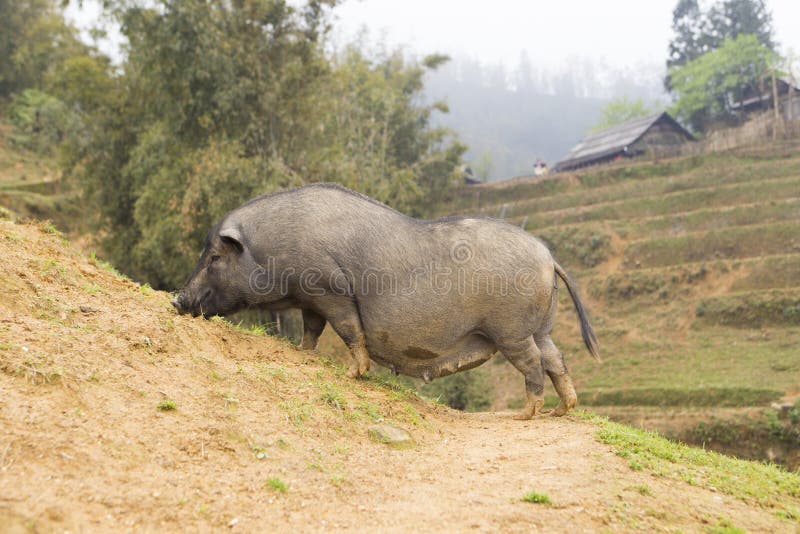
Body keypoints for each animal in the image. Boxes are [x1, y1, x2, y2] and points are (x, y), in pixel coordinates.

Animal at [172, 183, 600, 419]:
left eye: (214, 258)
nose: (177, 299)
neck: (273, 247)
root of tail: (548, 257)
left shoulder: (329, 288)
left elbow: (348, 329)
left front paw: (352, 373)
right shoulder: (310, 301)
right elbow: (311, 330)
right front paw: (304, 355)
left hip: (511, 329)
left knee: (534, 363)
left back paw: (524, 415)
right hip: (540, 326)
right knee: (556, 358)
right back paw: (562, 410)